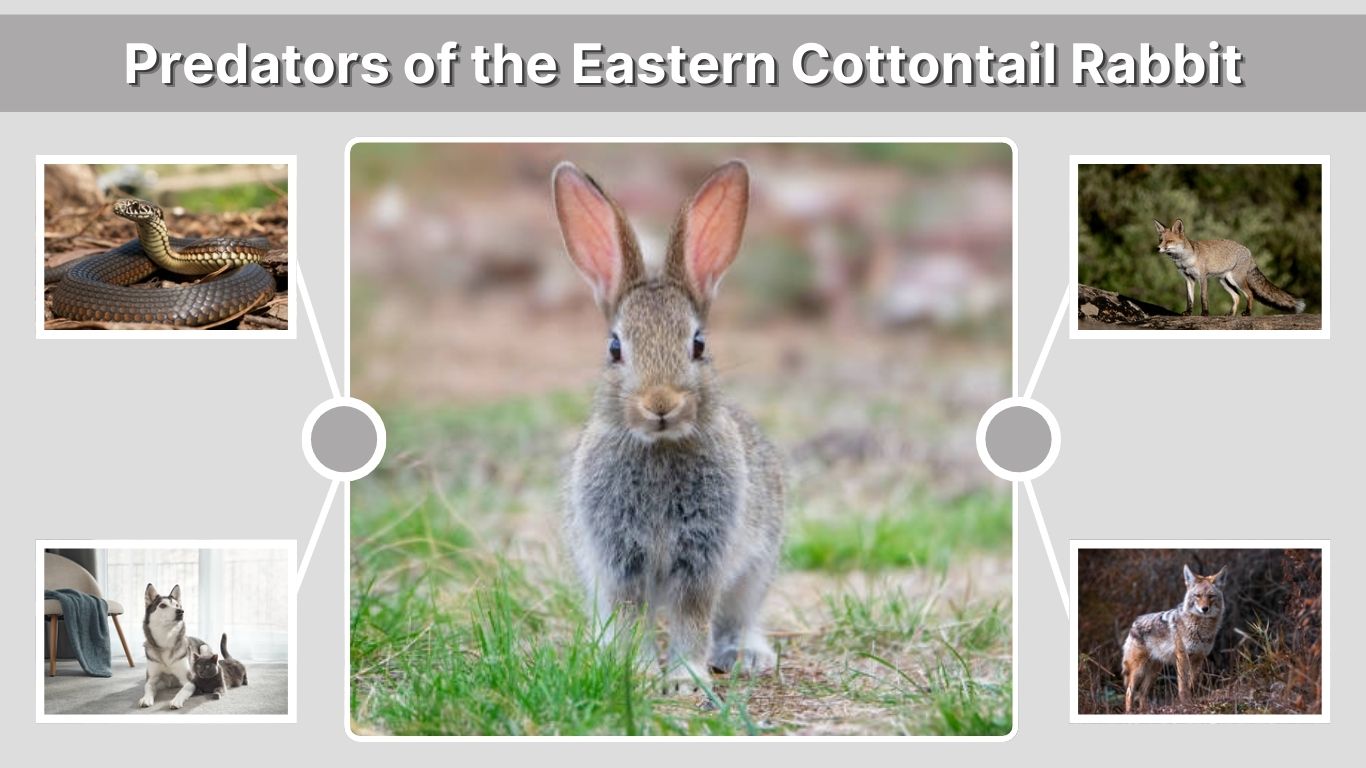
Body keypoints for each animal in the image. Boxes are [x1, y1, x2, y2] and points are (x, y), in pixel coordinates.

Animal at [552, 159, 785, 693]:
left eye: (698, 344)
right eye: (615, 348)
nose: (660, 403)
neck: (659, 447)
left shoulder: (702, 556)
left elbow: (692, 616)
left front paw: (684, 679)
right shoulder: (619, 561)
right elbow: (630, 616)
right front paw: (635, 671)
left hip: (757, 568)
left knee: (738, 616)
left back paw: (748, 655)